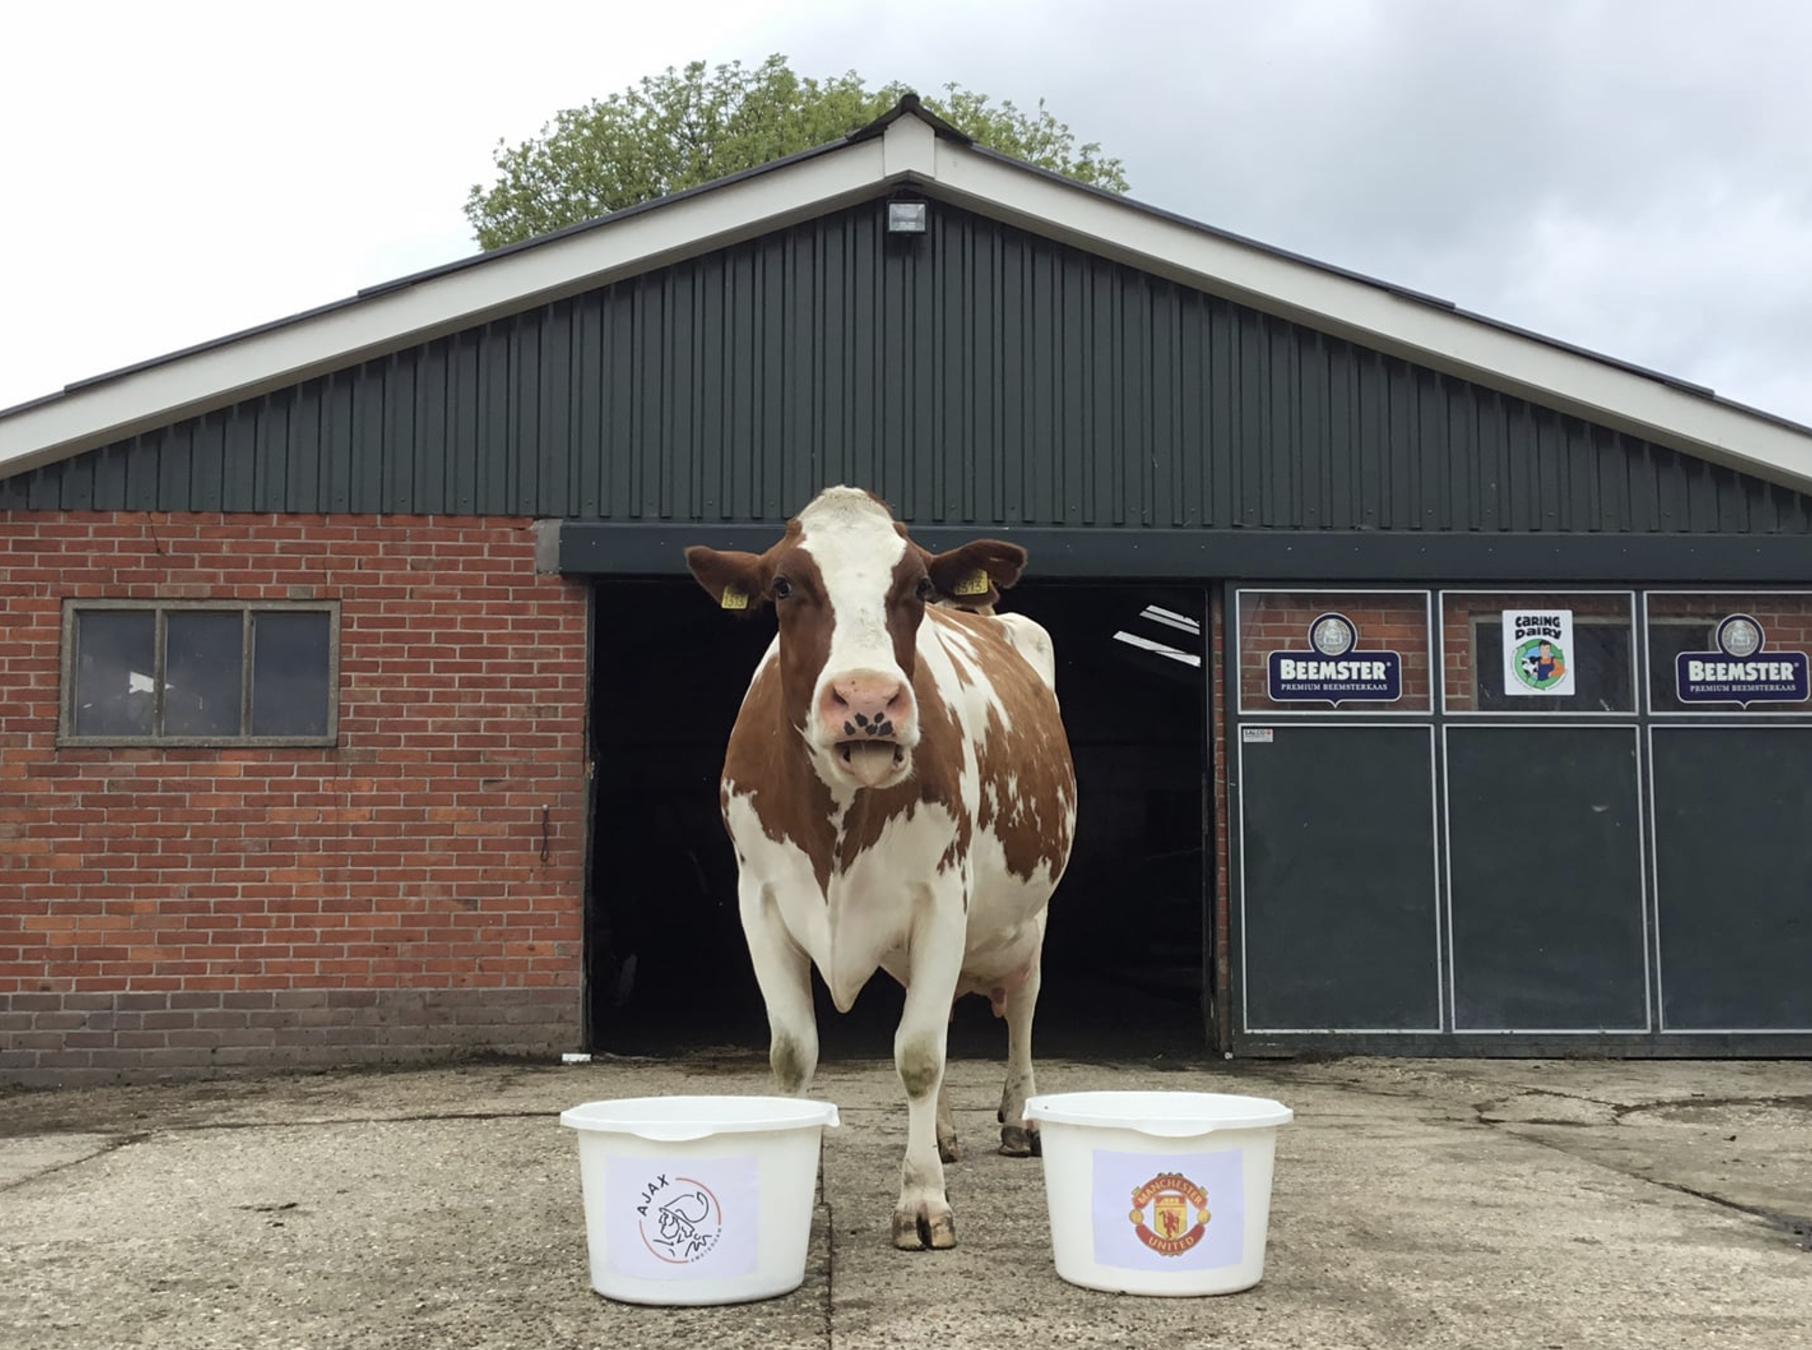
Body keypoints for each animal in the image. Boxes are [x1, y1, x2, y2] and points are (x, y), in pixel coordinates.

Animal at [685, 487, 1077, 1250]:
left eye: (918, 586)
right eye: (784, 585)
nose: (867, 701)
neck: (838, 817)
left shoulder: (943, 897)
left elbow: (918, 1054)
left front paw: (923, 1201)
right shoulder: (762, 900)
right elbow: (792, 1053)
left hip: (1034, 915)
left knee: (1022, 1004)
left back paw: (1019, 1119)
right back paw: (947, 1135)